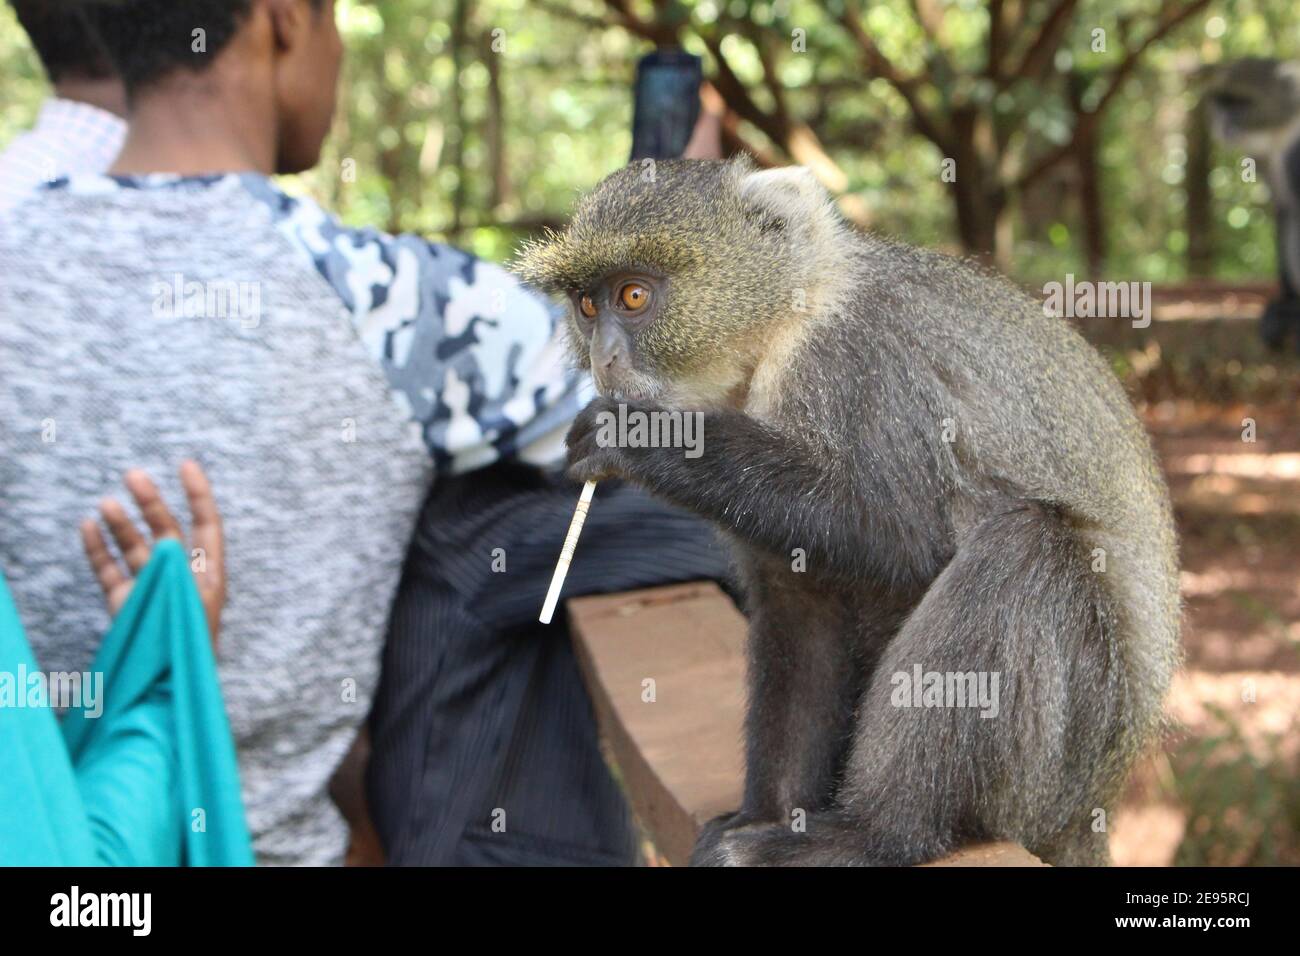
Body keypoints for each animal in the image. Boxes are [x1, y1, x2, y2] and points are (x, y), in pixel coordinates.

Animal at [514, 157, 1180, 866]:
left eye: (634, 296)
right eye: (587, 305)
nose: (604, 358)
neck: (784, 326)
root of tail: (1090, 807)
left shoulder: (856, 366)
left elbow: (904, 538)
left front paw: (644, 437)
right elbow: (801, 605)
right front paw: (765, 816)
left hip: (1064, 754)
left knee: (1026, 549)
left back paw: (877, 833)